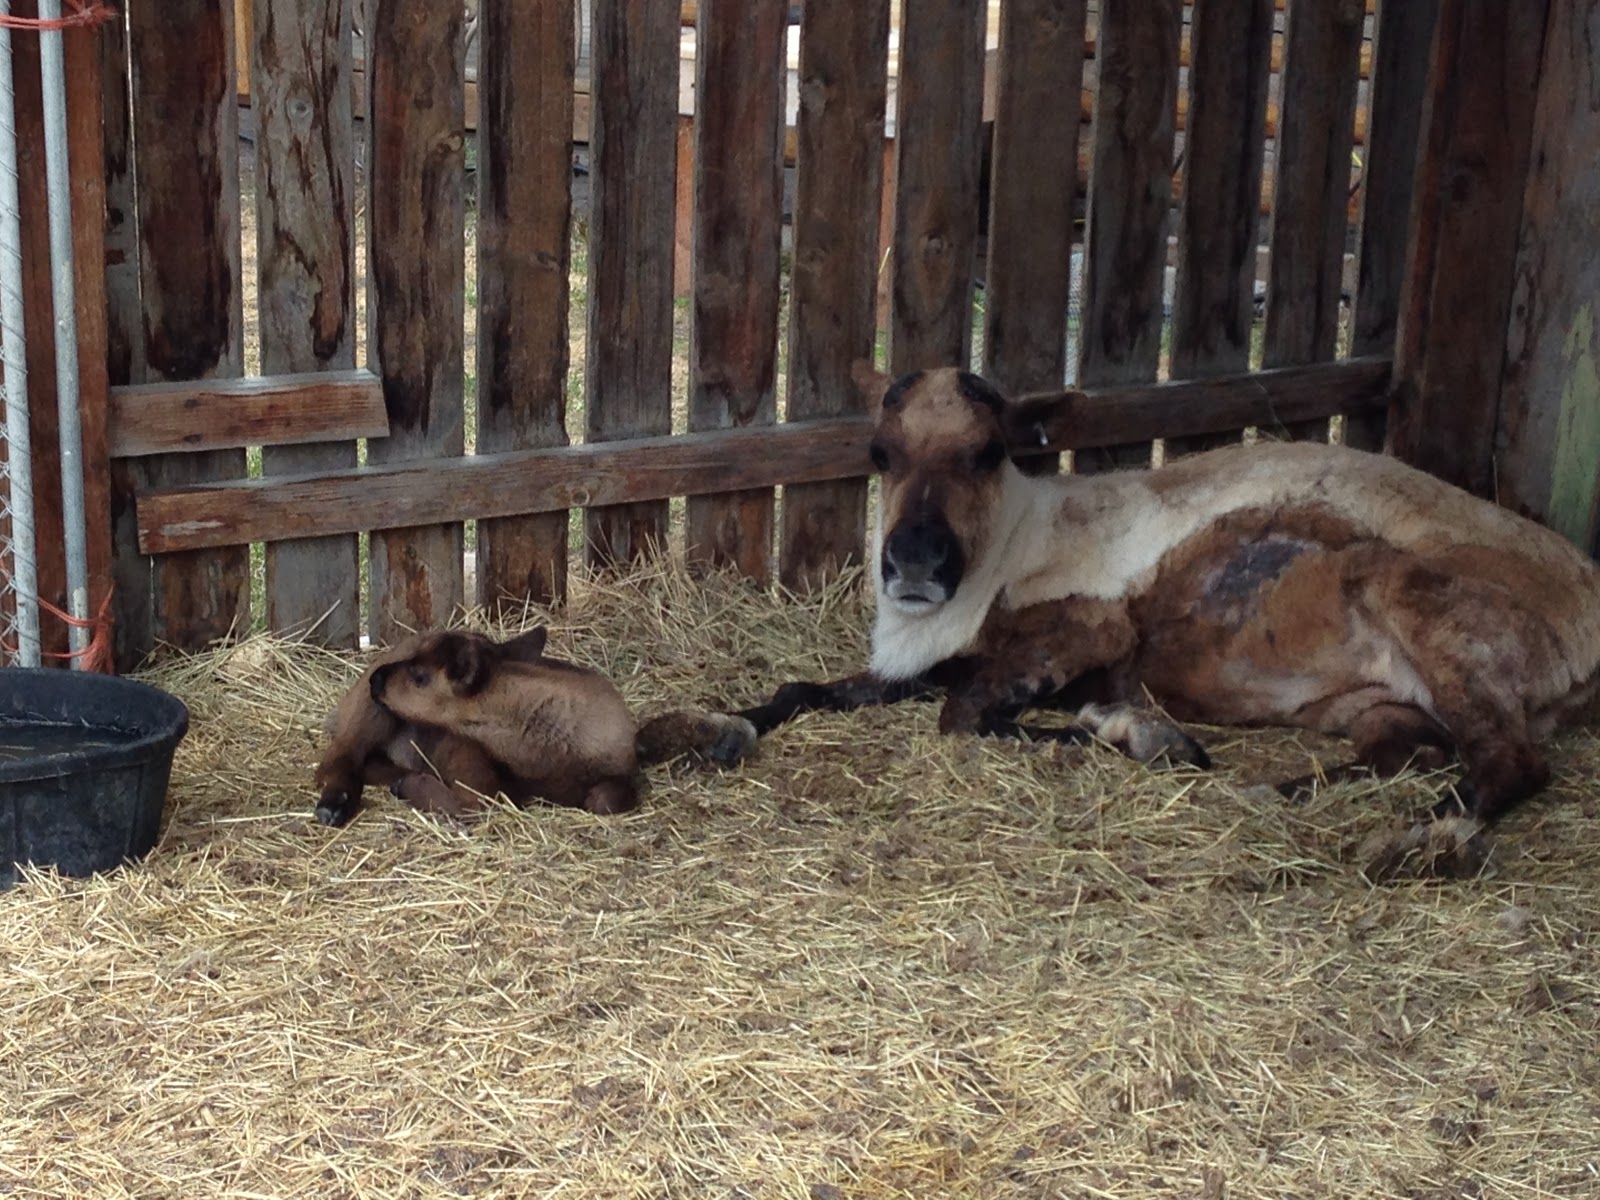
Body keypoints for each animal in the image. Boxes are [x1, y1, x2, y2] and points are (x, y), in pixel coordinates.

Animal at [315, 627, 757, 825]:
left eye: (420, 677)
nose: (377, 679)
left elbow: (607, 797)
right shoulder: (466, 757)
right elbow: (479, 801)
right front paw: (407, 785)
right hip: (369, 716)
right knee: (338, 757)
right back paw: (334, 804)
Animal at [734, 364, 1600, 872]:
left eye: (988, 450)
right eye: (880, 452)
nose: (913, 561)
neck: (1014, 542)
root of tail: (1587, 597)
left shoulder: (1086, 633)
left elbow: (967, 716)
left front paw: (1147, 737)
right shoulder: (941, 658)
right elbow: (805, 690)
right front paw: (728, 728)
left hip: (1424, 611)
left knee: (1511, 762)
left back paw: (1425, 842)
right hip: (1372, 700)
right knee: (1410, 750)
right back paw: (1277, 793)